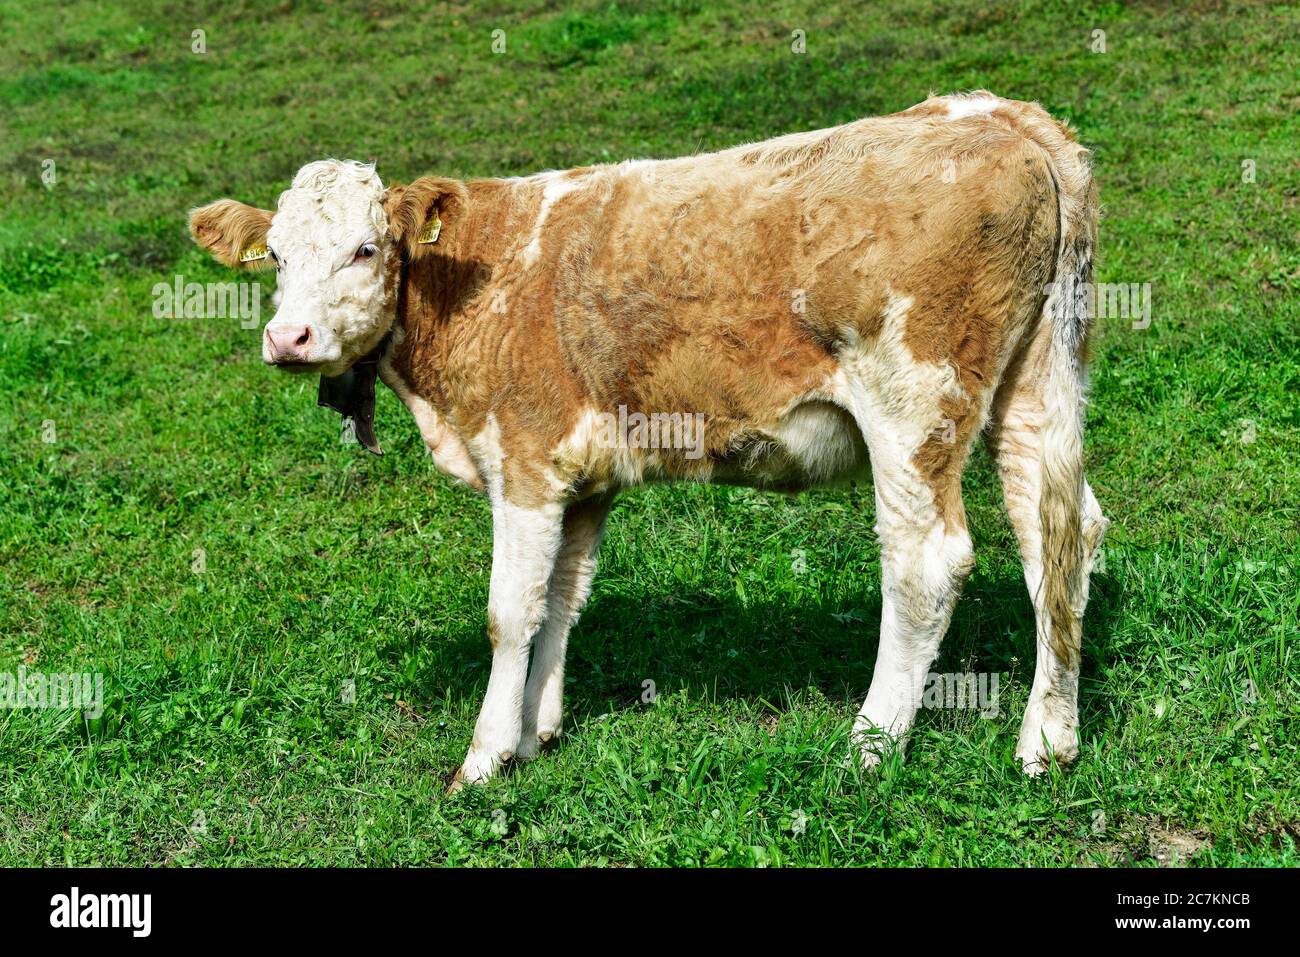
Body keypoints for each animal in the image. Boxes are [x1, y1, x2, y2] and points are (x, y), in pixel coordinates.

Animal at [189, 91, 1107, 787]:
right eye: (275, 256)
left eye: (365, 247)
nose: (289, 338)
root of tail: (1003, 119)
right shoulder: (584, 475)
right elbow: (564, 597)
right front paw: (539, 730)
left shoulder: (524, 459)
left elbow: (509, 611)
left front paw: (484, 759)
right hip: (1034, 388)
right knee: (1060, 535)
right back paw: (1048, 739)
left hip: (914, 402)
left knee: (927, 563)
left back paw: (868, 747)